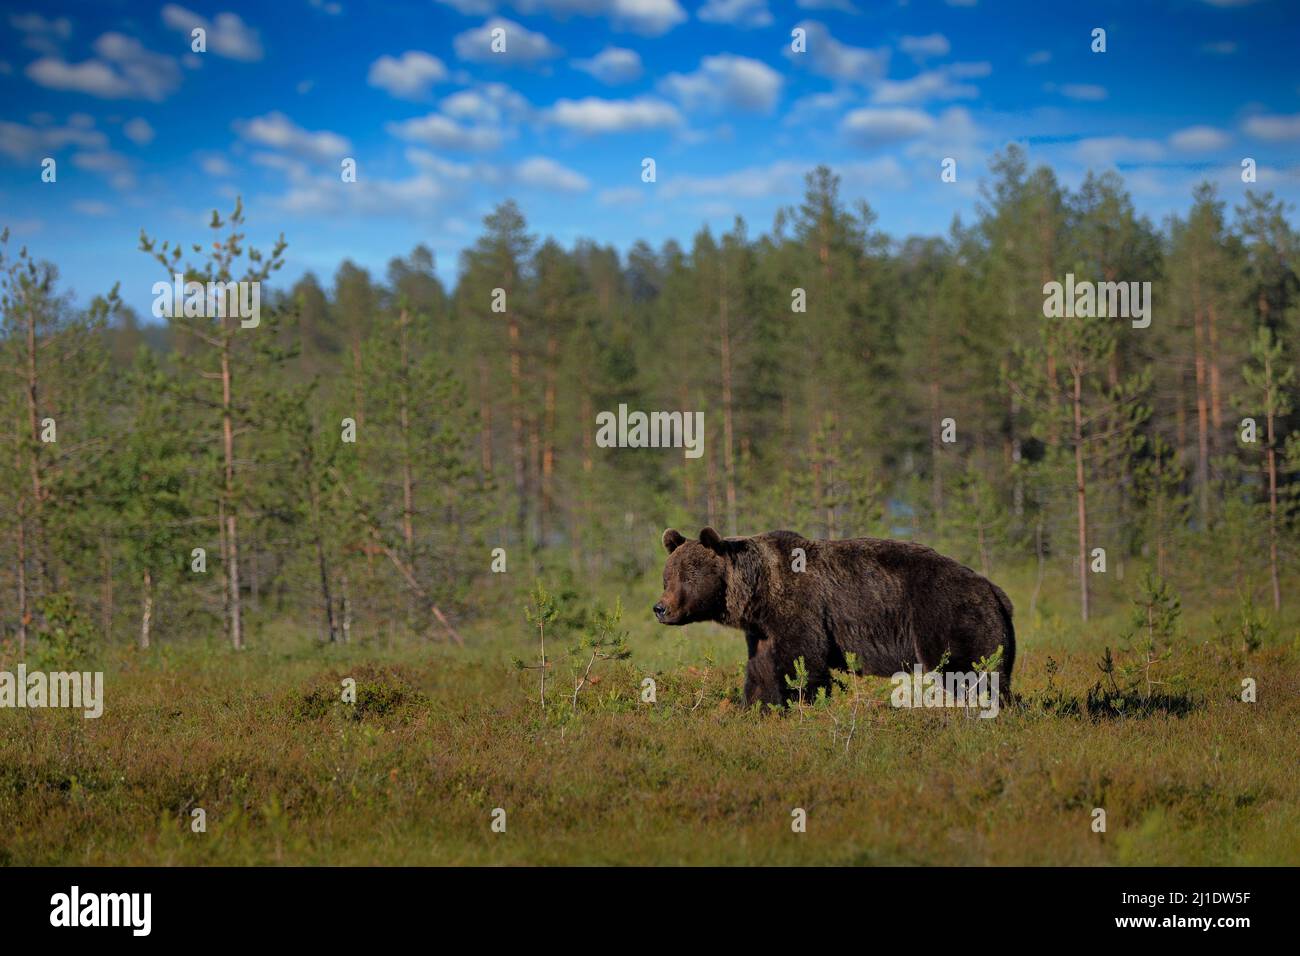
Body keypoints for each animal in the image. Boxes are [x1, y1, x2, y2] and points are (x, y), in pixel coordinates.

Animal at [654, 527, 1015, 709]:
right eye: (666, 577)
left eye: (687, 576)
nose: (660, 608)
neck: (758, 592)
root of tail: (995, 590)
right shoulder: (762, 630)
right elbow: (760, 670)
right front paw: (756, 707)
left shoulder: (801, 609)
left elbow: (801, 659)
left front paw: (802, 701)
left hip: (948, 615)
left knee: (970, 670)